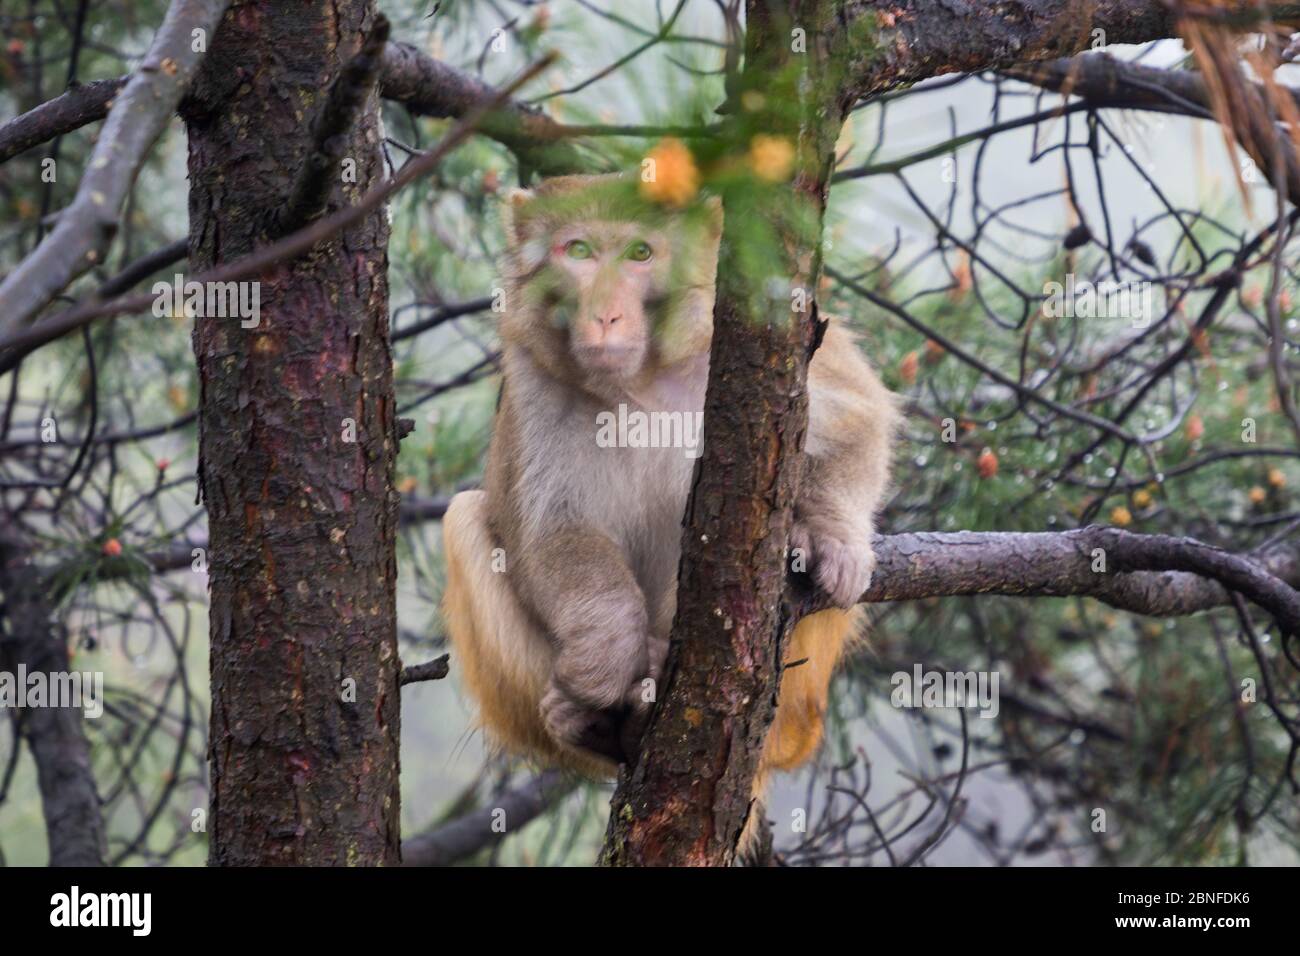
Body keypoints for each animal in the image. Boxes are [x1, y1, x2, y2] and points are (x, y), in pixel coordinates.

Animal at [441, 172, 898, 802]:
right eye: (578, 250)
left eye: (641, 253)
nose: (605, 315)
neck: (640, 382)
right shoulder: (533, 381)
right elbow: (546, 530)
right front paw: (605, 650)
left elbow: (861, 418)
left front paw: (829, 536)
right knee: (463, 516)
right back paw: (588, 722)